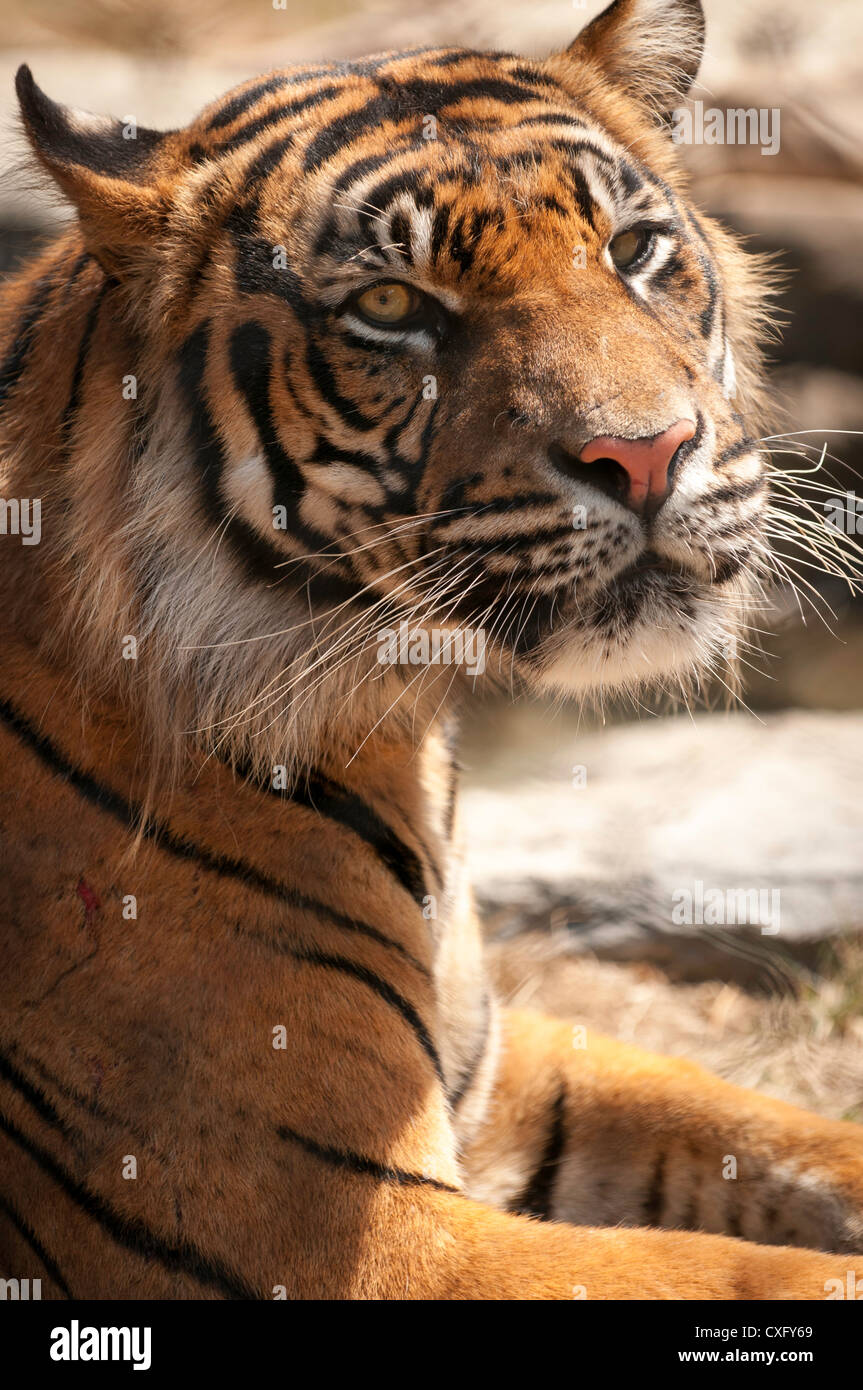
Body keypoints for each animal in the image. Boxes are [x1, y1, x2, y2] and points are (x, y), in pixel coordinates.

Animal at [0, 0, 861, 1302]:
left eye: (632, 249)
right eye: (395, 307)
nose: (646, 455)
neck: (403, 720)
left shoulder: (498, 1068)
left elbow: (767, 1127)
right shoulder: (351, 1230)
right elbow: (747, 1270)